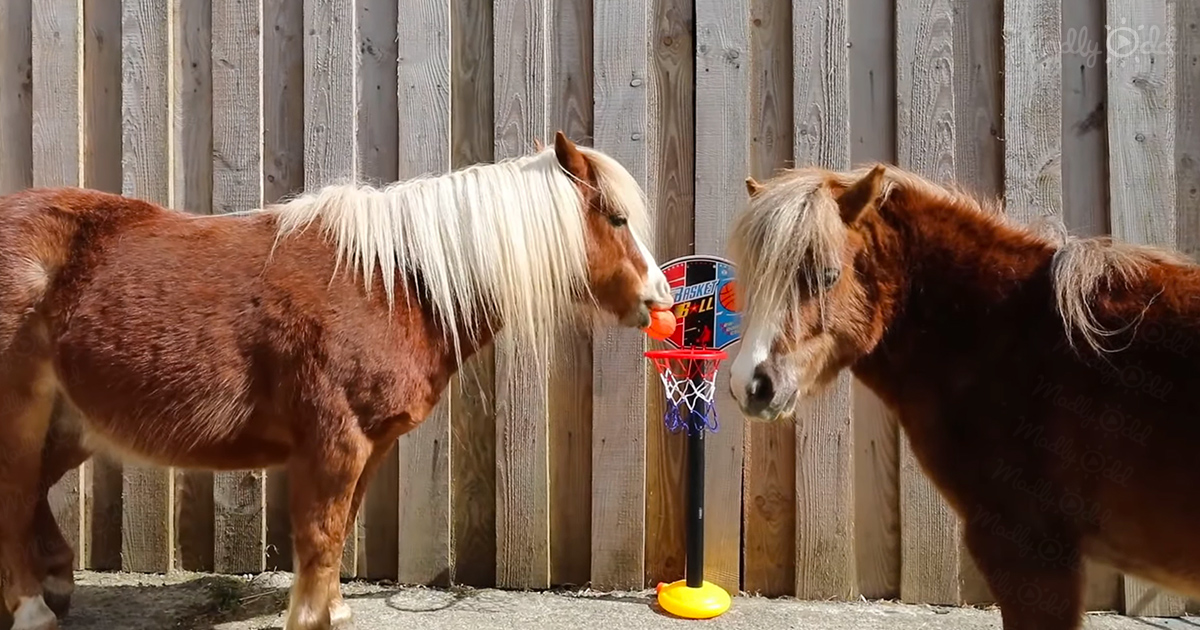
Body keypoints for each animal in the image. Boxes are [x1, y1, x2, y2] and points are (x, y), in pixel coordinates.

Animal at [0, 130, 673, 630]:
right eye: (616, 219)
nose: (659, 298)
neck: (392, 285)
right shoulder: (335, 444)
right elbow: (321, 537)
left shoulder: (370, 447)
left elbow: (340, 533)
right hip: (22, 415)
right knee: (13, 497)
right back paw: (33, 607)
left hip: (69, 424)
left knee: (30, 497)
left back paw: (54, 581)